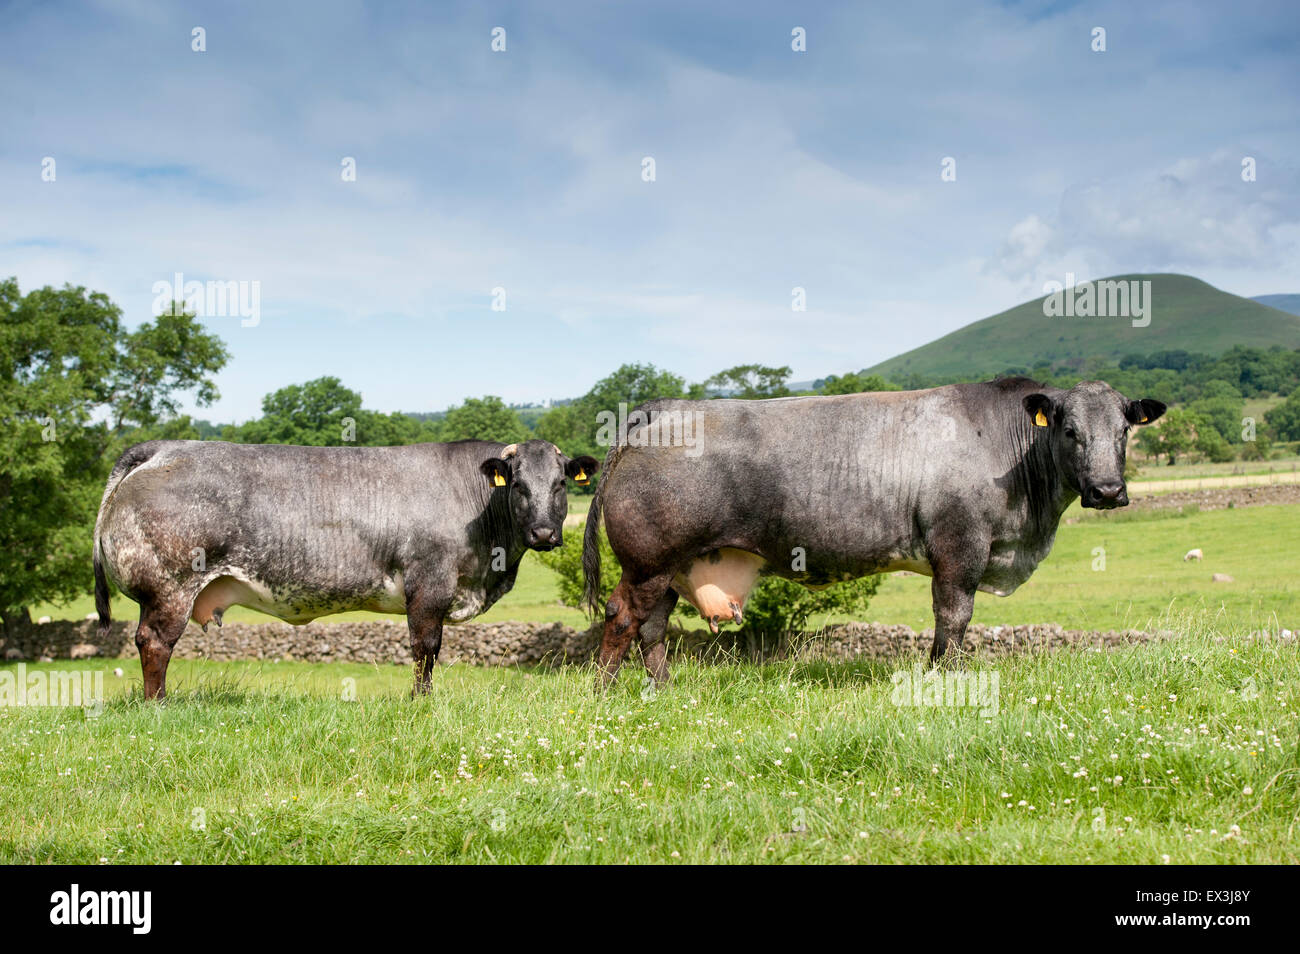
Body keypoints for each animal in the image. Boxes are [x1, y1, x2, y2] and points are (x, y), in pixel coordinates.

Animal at [94, 438, 599, 699]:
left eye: (560, 485)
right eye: (517, 485)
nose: (543, 534)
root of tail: (164, 448)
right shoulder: (429, 585)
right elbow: (425, 648)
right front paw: (421, 702)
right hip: (170, 586)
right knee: (155, 642)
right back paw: (158, 704)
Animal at [582, 378, 1165, 688]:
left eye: (1124, 431)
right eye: (1069, 430)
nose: (1108, 490)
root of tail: (662, 409)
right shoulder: (960, 548)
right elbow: (953, 618)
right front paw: (943, 679)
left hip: (670, 566)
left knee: (652, 628)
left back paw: (662, 690)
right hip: (648, 561)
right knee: (622, 616)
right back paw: (605, 693)